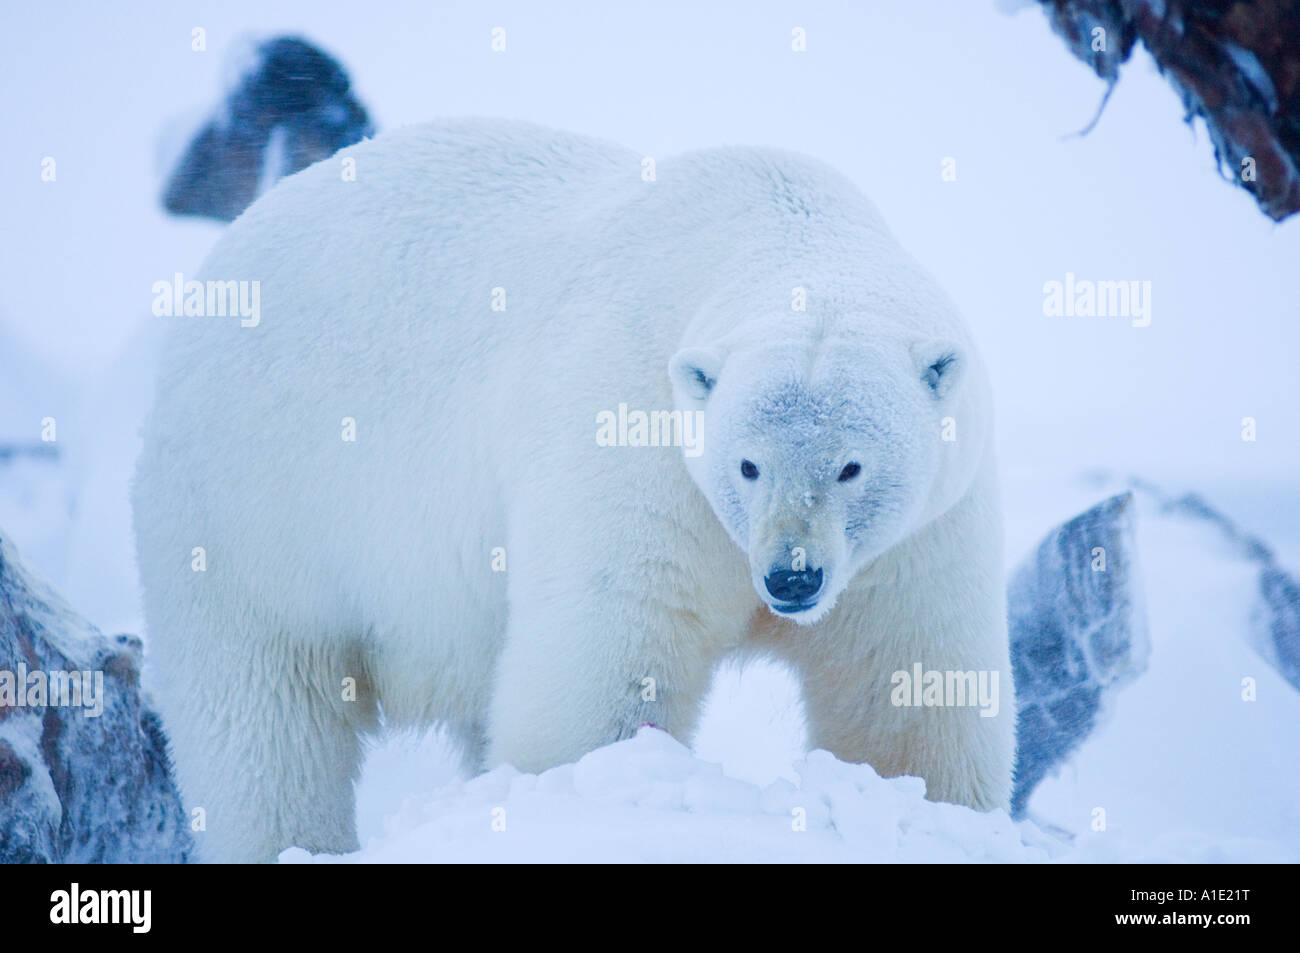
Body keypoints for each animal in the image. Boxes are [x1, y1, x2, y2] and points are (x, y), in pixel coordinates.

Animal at [132, 118, 1014, 863]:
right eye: (747, 465)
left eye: (851, 466)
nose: (790, 577)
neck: (769, 223)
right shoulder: (632, 437)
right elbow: (611, 647)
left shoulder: (921, 530)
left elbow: (903, 684)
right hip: (253, 509)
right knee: (263, 721)